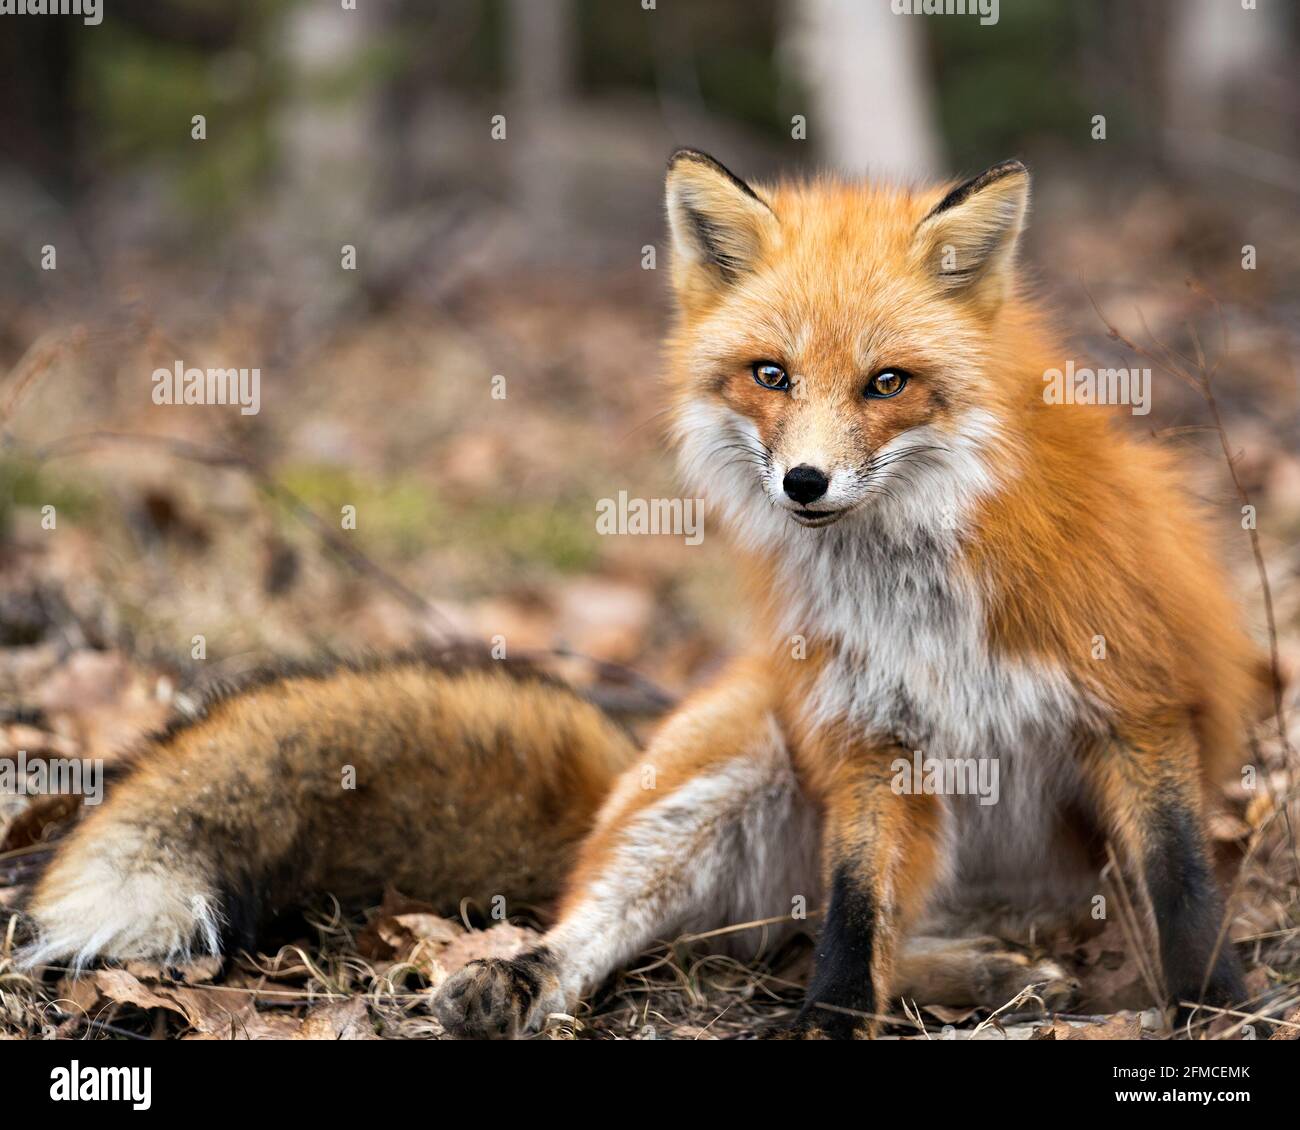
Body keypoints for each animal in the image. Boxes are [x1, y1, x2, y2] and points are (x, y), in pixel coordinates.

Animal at [18, 151, 1262, 1039]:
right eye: (770, 375)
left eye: (887, 383)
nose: (804, 482)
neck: (919, 595)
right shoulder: (869, 739)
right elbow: (852, 921)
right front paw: (828, 1027)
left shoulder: (1136, 707)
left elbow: (1181, 884)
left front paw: (1218, 1005)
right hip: (738, 765)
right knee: (643, 929)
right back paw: (515, 984)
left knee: (802, 939)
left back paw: (988, 973)